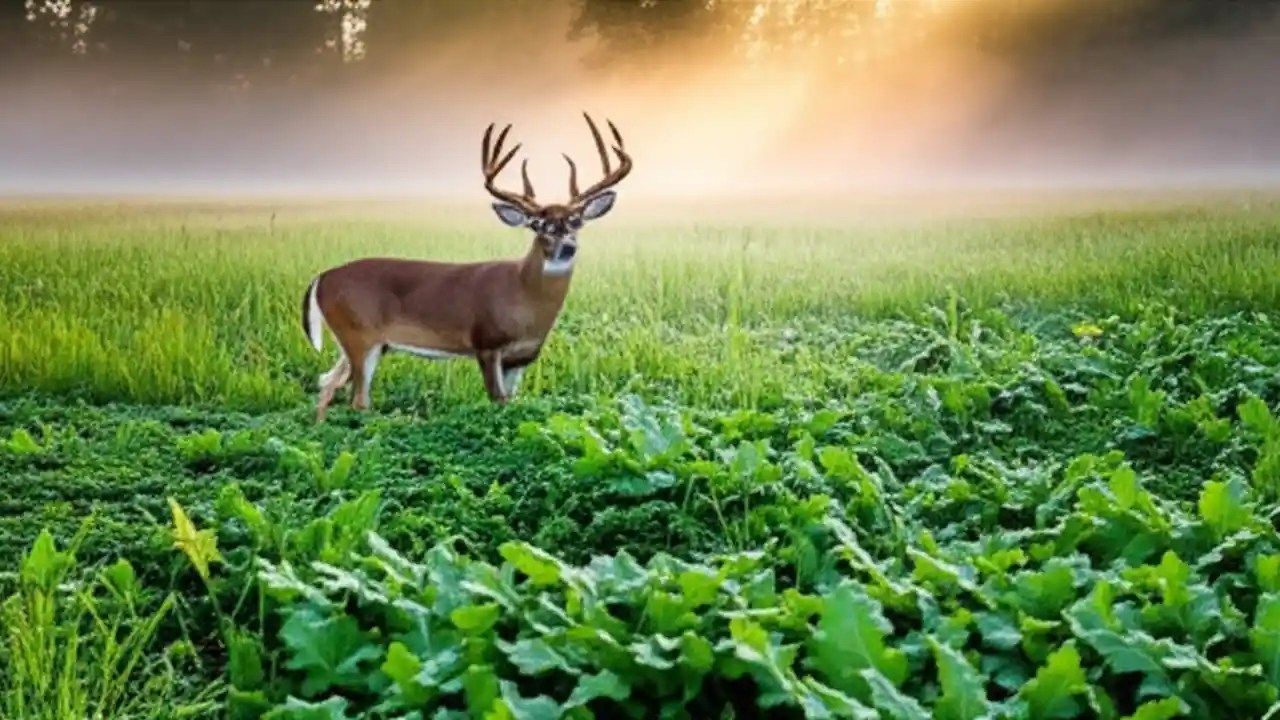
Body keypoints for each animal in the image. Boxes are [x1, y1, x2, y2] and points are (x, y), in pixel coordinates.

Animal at [299, 112, 632, 422]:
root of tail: (321, 277)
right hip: (359, 334)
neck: (523, 298)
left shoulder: (520, 359)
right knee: (357, 400)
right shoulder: (486, 343)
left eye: (576, 222)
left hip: (366, 343)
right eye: (538, 225)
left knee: (326, 384)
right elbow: (497, 400)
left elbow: (512, 402)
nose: (567, 248)